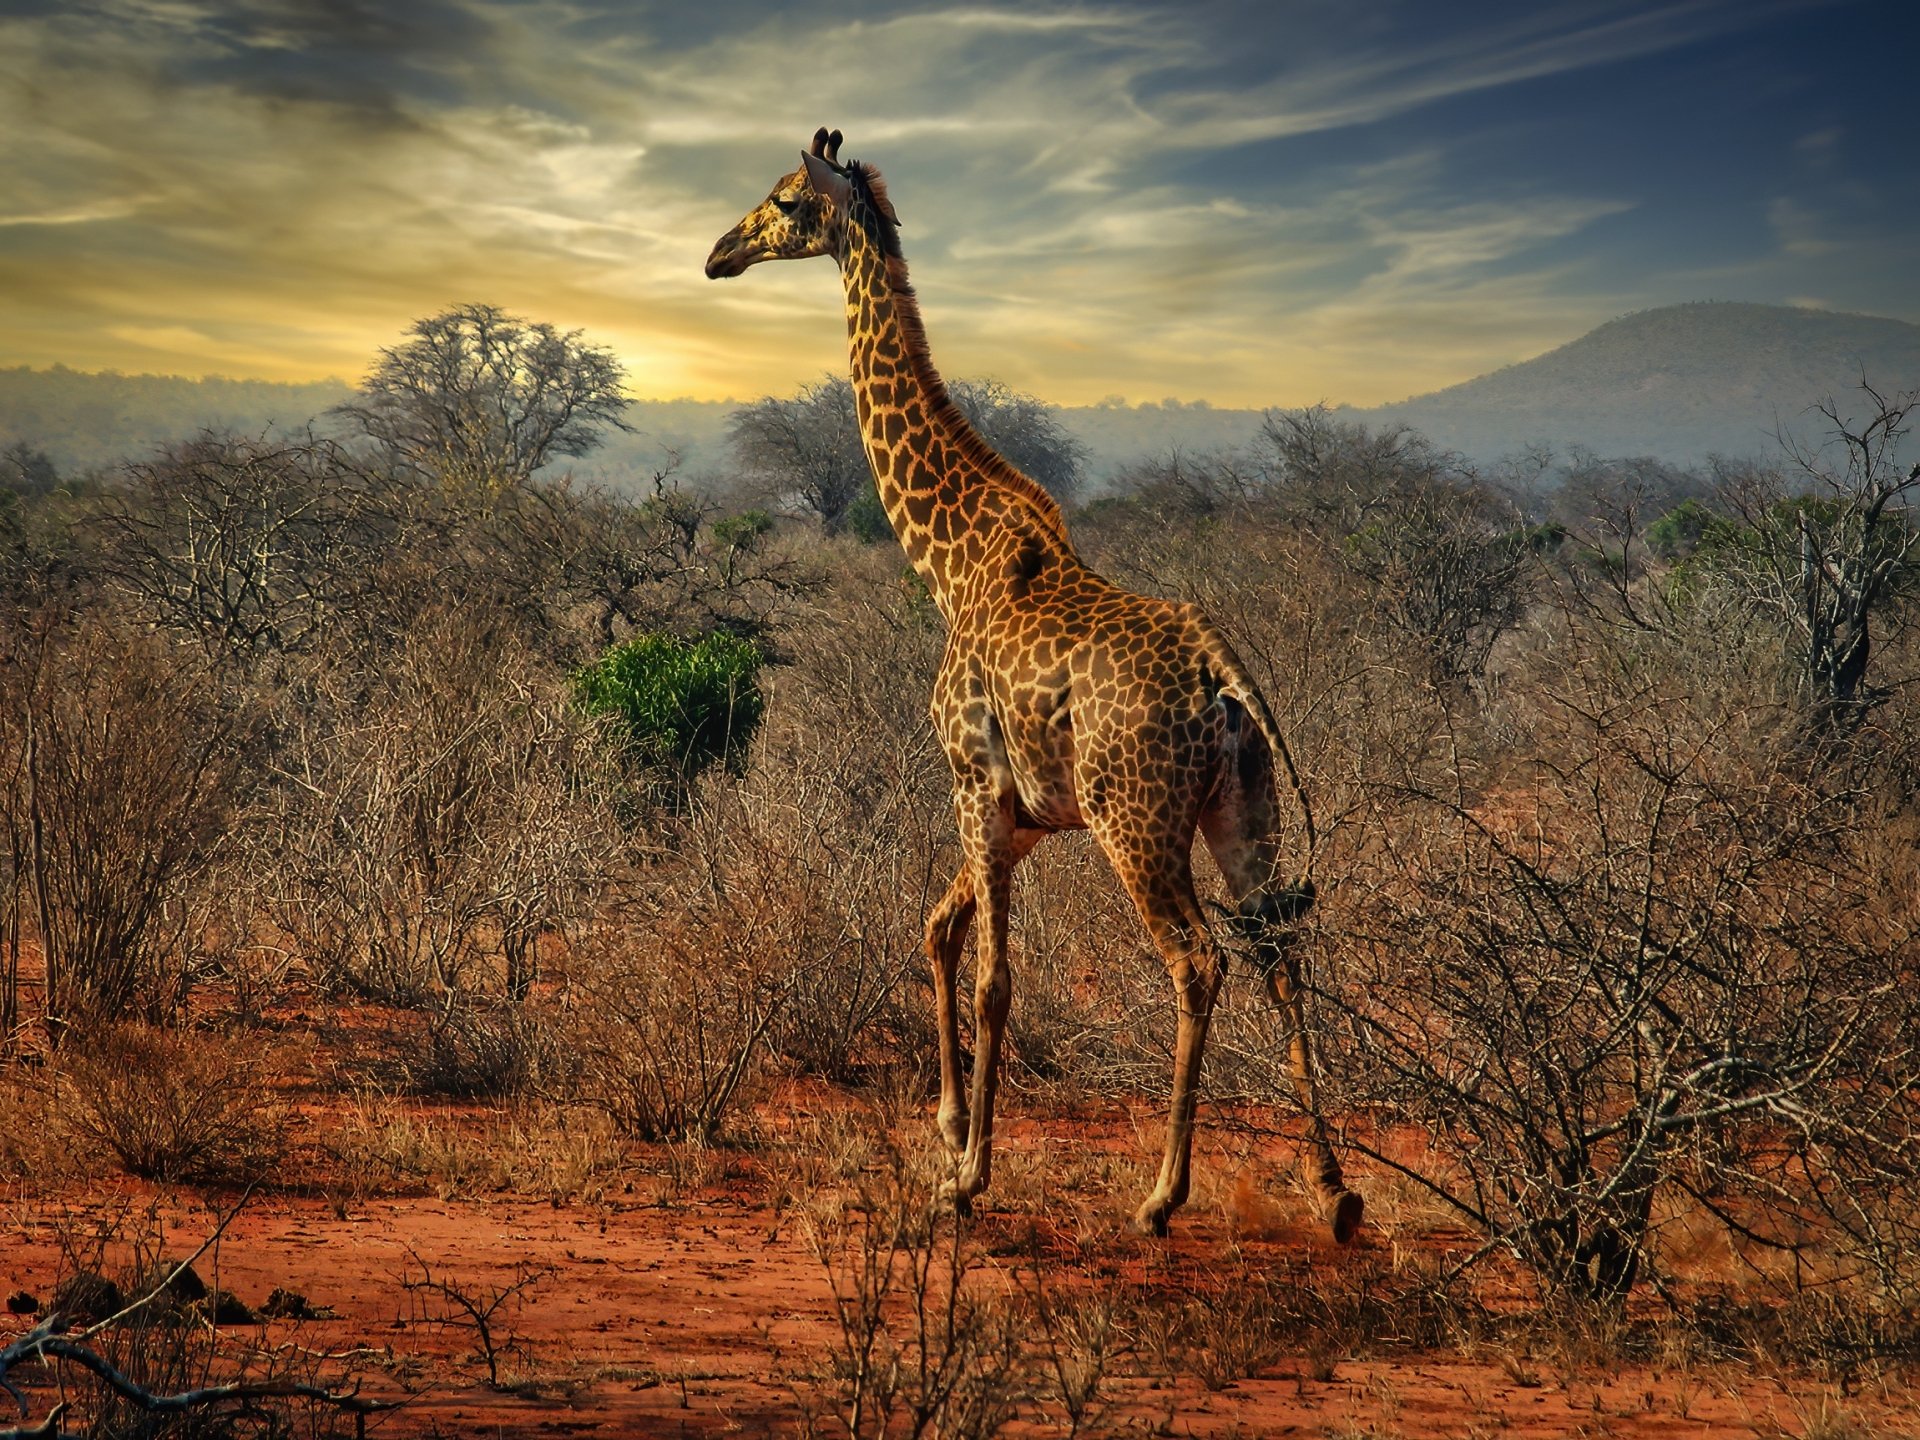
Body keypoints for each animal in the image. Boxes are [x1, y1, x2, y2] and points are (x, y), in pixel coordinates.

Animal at [707, 127, 1363, 1241]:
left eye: (786, 201)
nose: (718, 255)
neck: (949, 558)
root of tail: (1220, 675)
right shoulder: (1020, 814)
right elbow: (937, 931)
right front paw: (945, 1129)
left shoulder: (973, 781)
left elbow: (994, 979)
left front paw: (968, 1174)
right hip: (1244, 811)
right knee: (1280, 953)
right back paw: (1335, 1191)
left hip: (1137, 822)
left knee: (1201, 961)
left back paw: (1161, 1195)